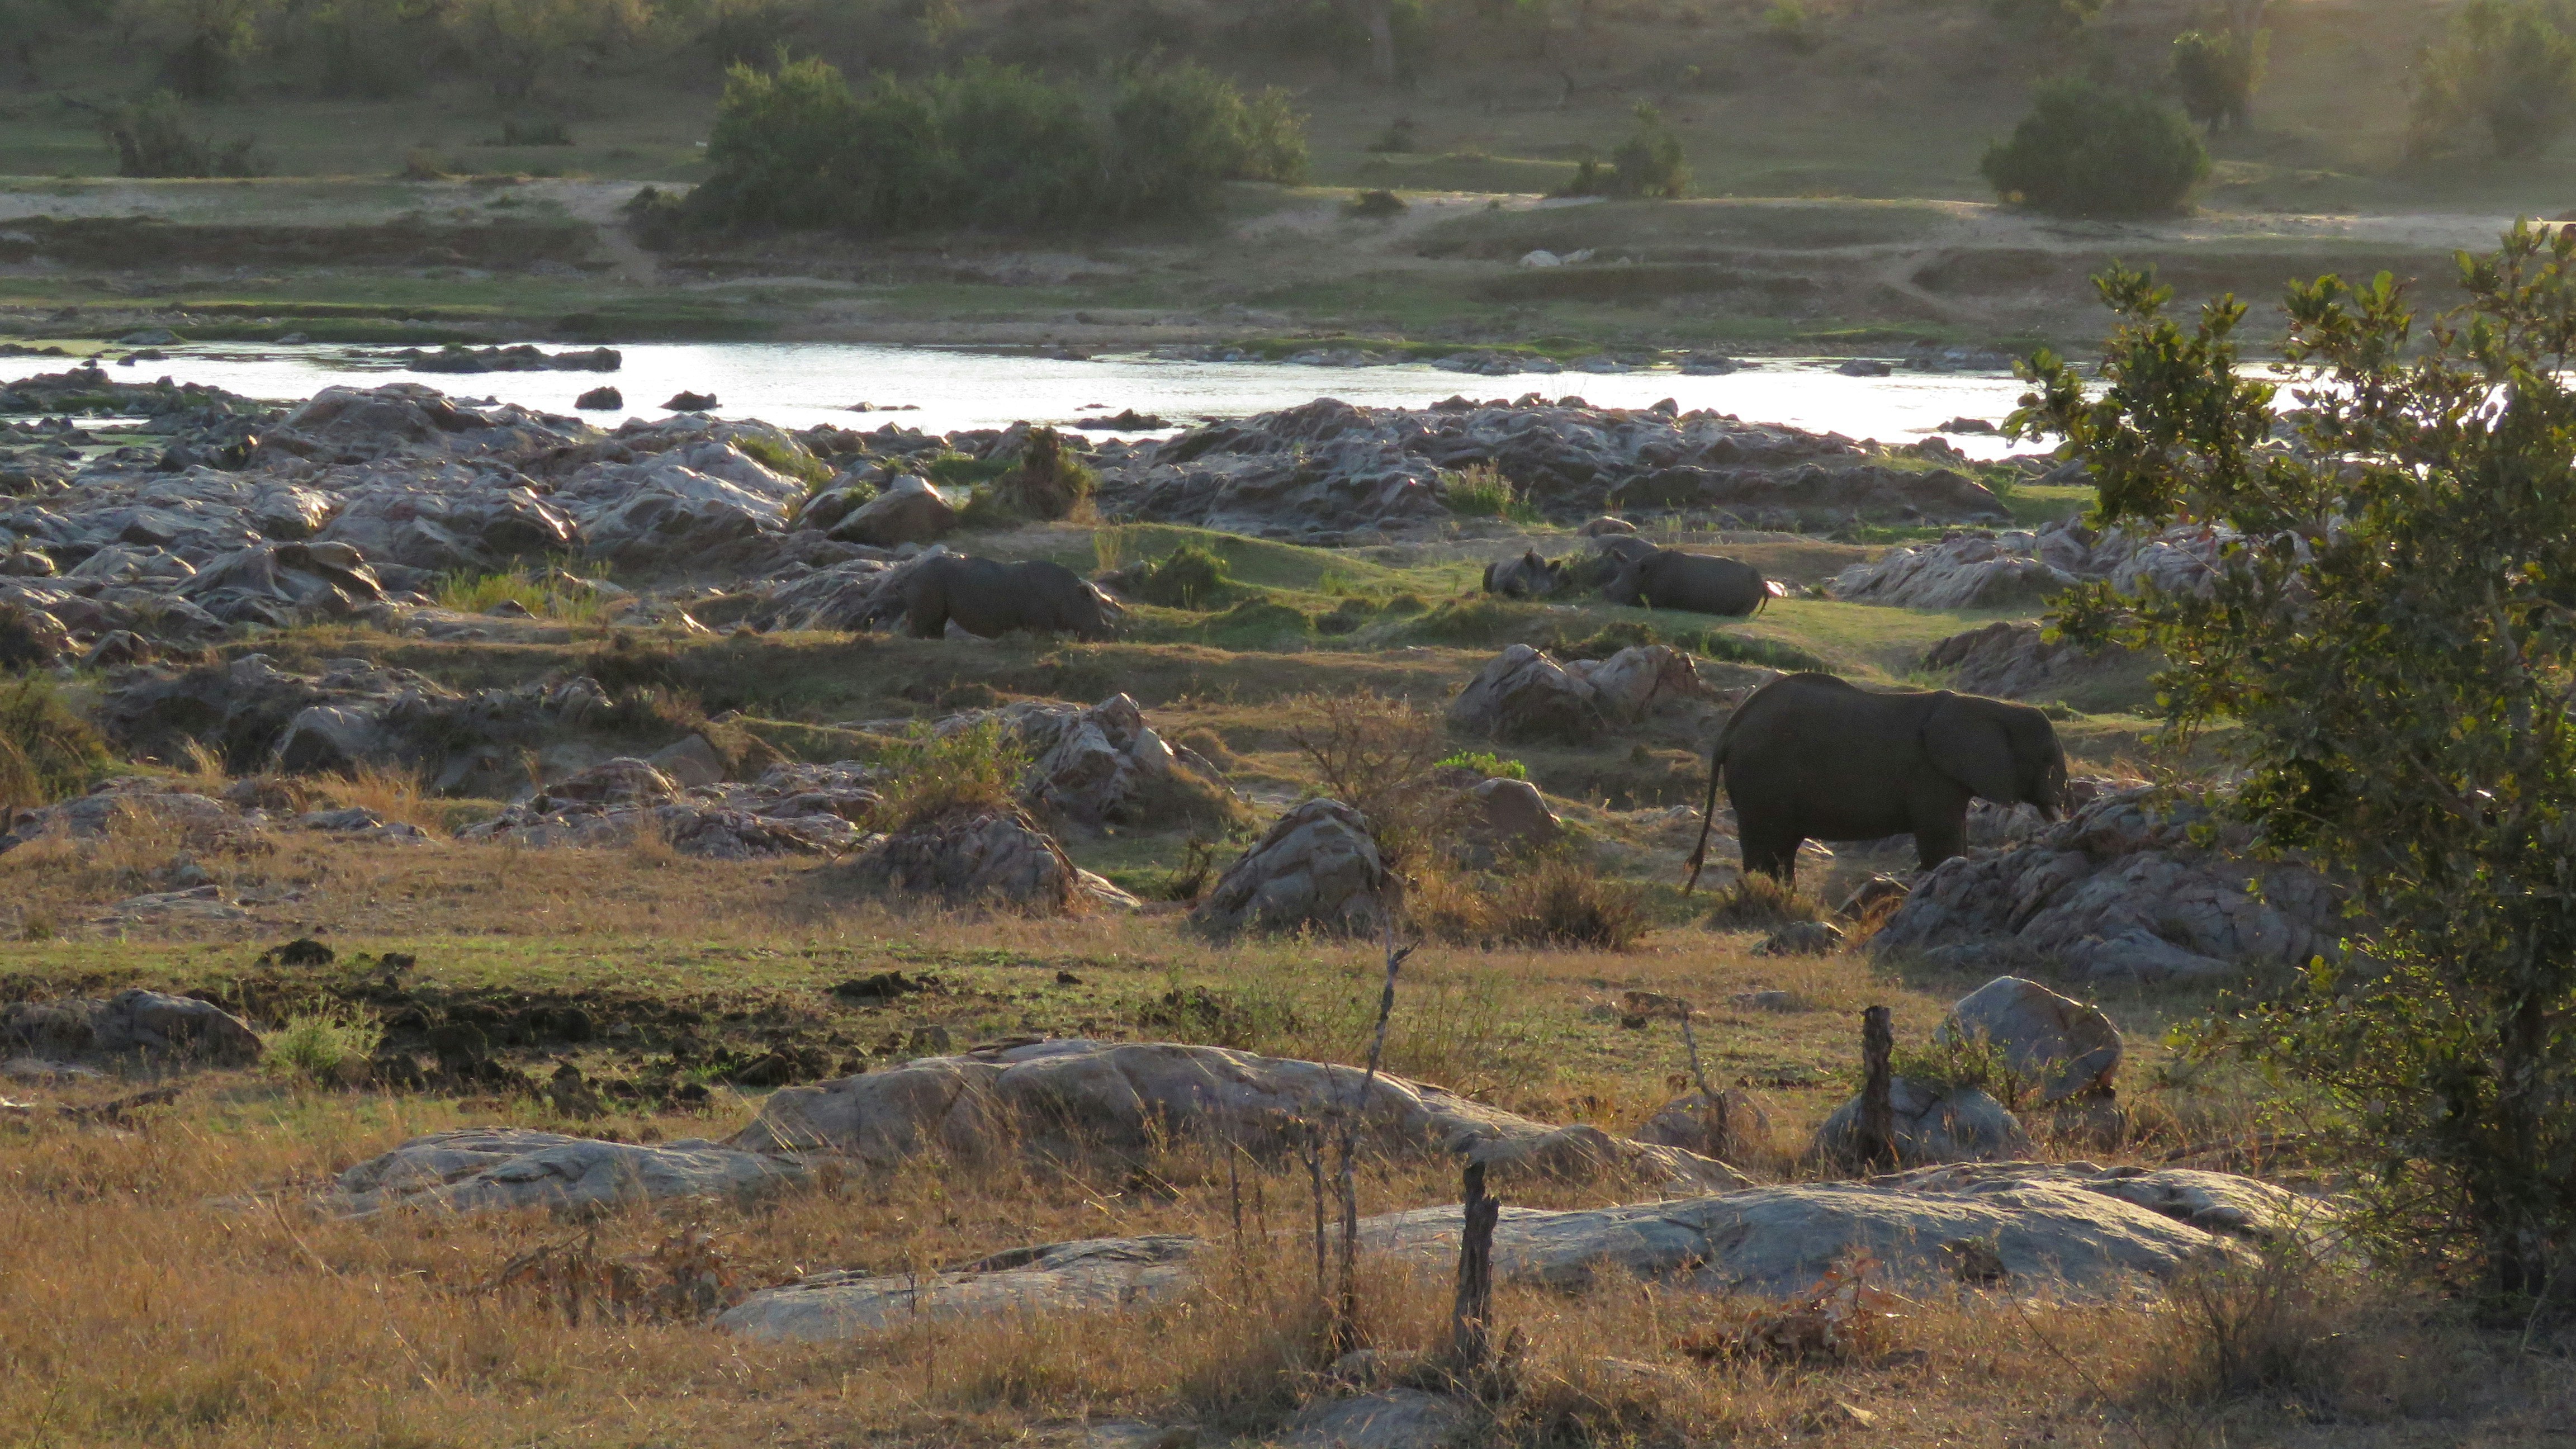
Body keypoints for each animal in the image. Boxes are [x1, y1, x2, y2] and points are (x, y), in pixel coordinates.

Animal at [875, 554, 1116, 640]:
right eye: (1092, 615)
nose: (1103, 635)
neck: (1071, 594)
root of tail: (914, 572)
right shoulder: (1041, 619)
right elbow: (1045, 634)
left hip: (933, 580)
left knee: (939, 620)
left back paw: (937, 641)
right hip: (929, 580)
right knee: (927, 619)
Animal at [1685, 672, 2067, 888]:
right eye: (2047, 759)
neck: (1992, 707)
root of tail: (1730, 728)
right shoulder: (1929, 774)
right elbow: (1942, 841)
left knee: (1781, 851)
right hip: (1762, 777)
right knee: (1768, 849)